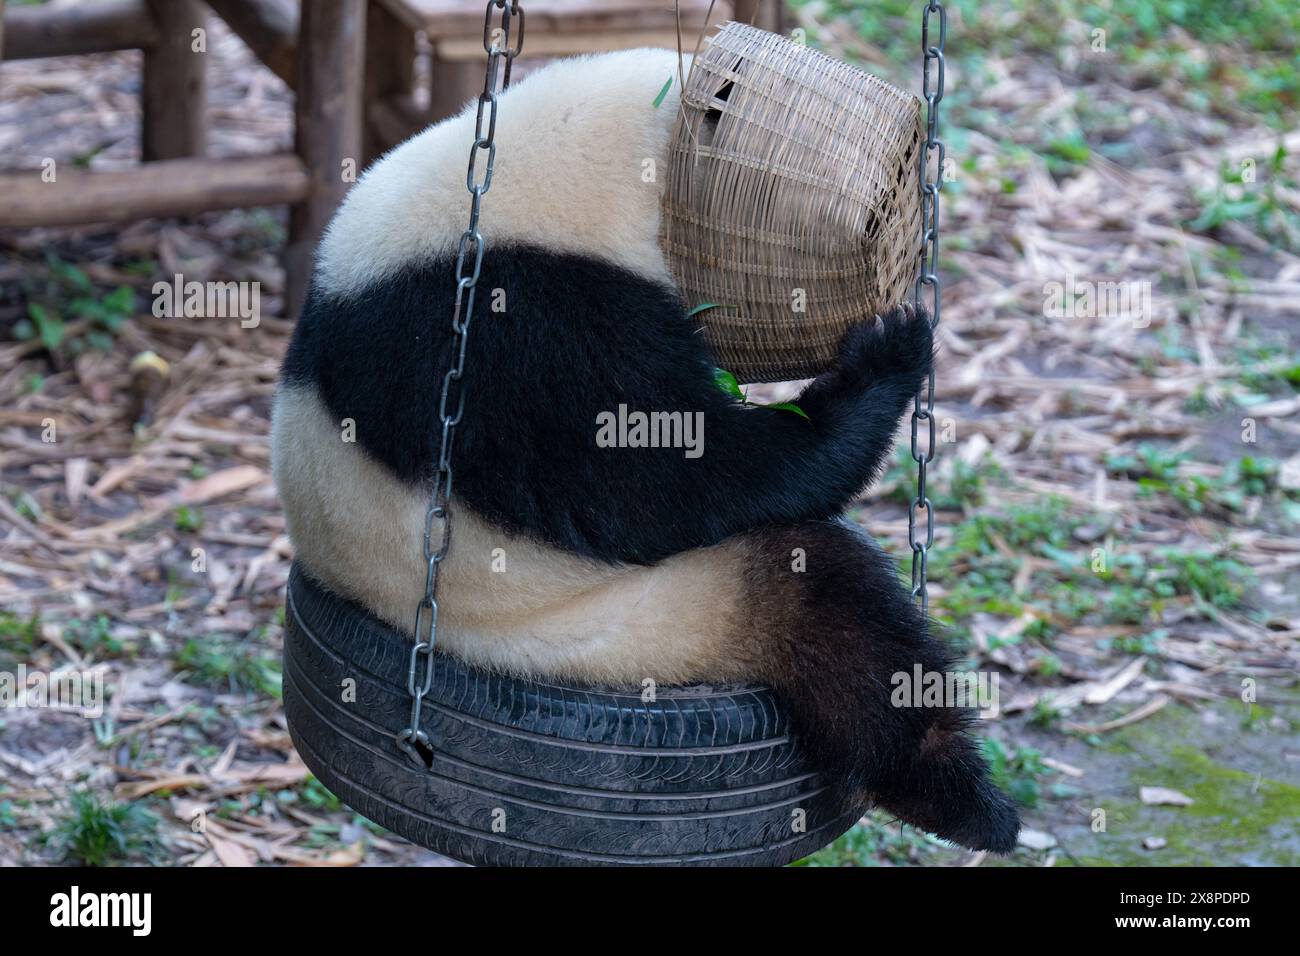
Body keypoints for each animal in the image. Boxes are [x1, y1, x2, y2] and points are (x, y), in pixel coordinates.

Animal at [272, 47, 1020, 854]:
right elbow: (666, 479)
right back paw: (966, 800)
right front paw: (891, 353)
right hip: (622, 627)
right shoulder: (516, 321)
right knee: (838, 613)